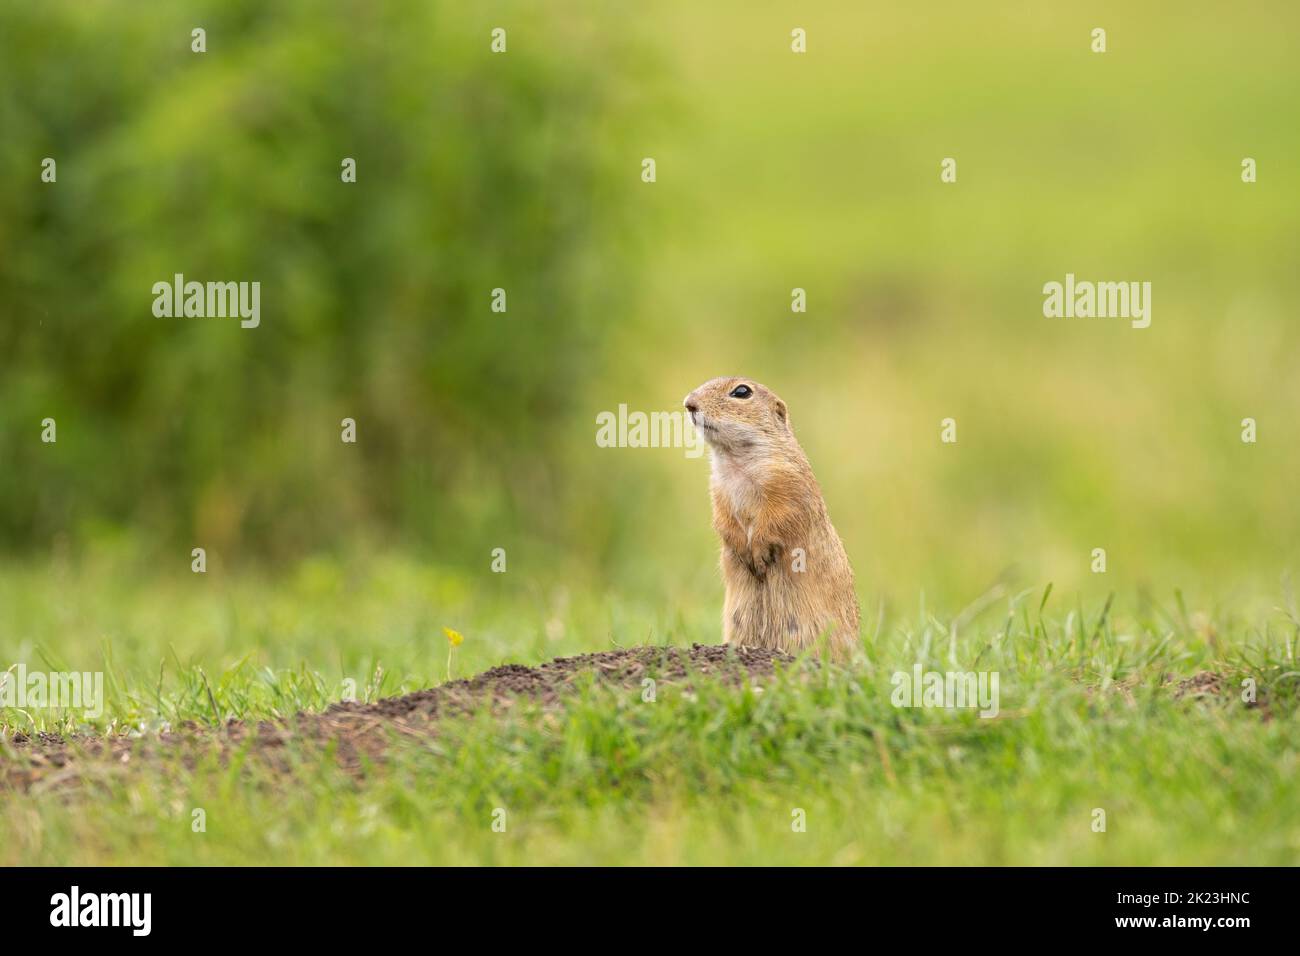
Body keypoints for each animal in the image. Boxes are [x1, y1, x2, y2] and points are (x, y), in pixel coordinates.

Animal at [684, 377, 861, 660]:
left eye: (742, 391)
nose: (689, 403)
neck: (735, 460)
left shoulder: (785, 481)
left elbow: (779, 517)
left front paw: (758, 556)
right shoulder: (718, 490)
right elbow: (723, 520)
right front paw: (743, 551)